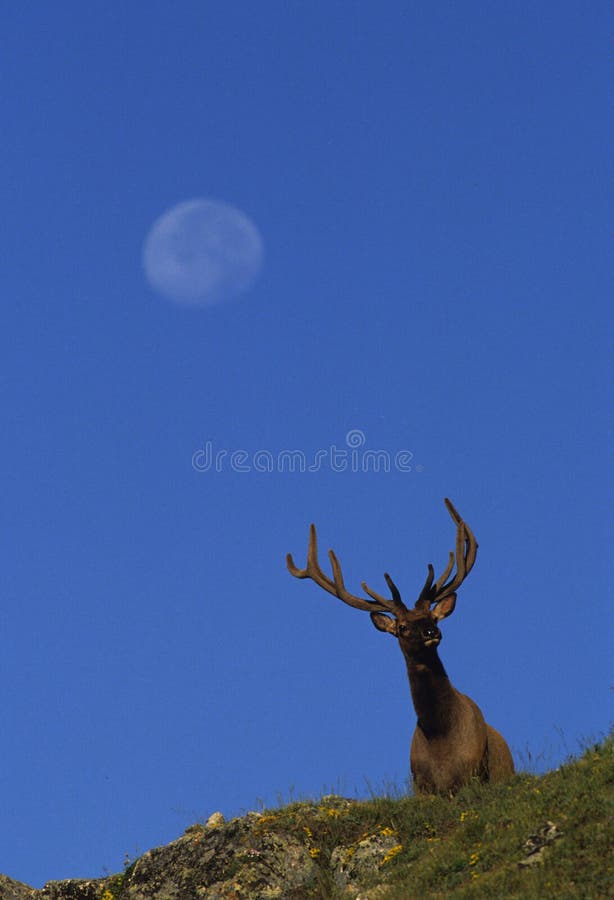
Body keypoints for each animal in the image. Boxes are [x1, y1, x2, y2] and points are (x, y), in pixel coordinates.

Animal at [286, 498, 514, 795]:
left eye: (432, 617)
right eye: (403, 627)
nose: (432, 632)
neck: (440, 738)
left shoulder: (473, 773)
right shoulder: (421, 784)